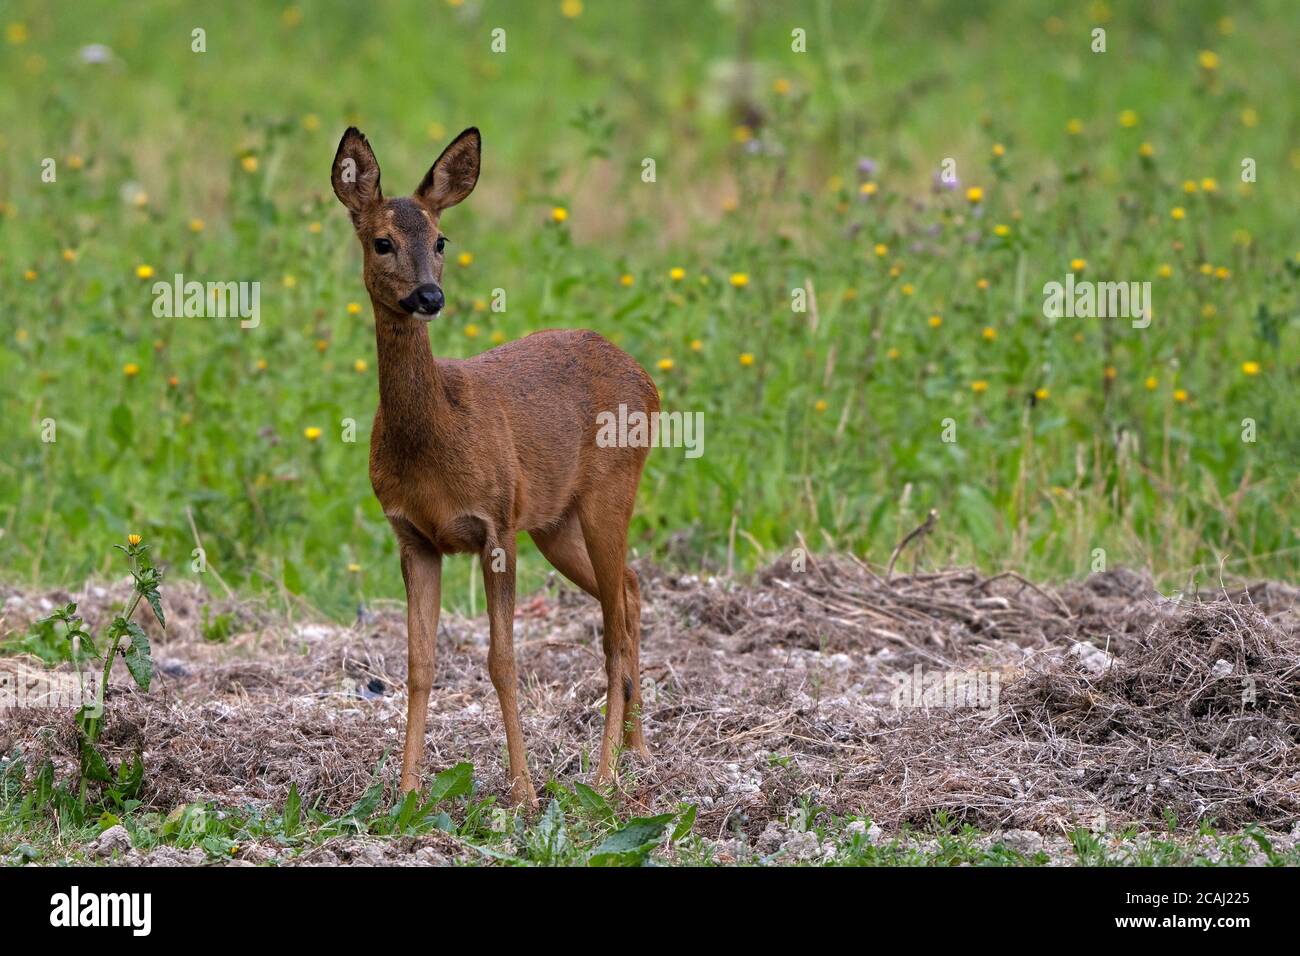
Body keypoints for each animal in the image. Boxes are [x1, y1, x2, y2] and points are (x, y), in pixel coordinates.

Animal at [331, 126, 658, 807]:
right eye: (382, 241)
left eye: (440, 240)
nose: (429, 296)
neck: (434, 441)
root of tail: (649, 379)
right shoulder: (412, 535)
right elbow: (420, 664)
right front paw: (407, 794)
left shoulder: (496, 522)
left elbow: (502, 661)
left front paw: (525, 792)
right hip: (555, 522)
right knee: (631, 589)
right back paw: (638, 751)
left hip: (610, 491)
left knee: (614, 627)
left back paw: (606, 774)